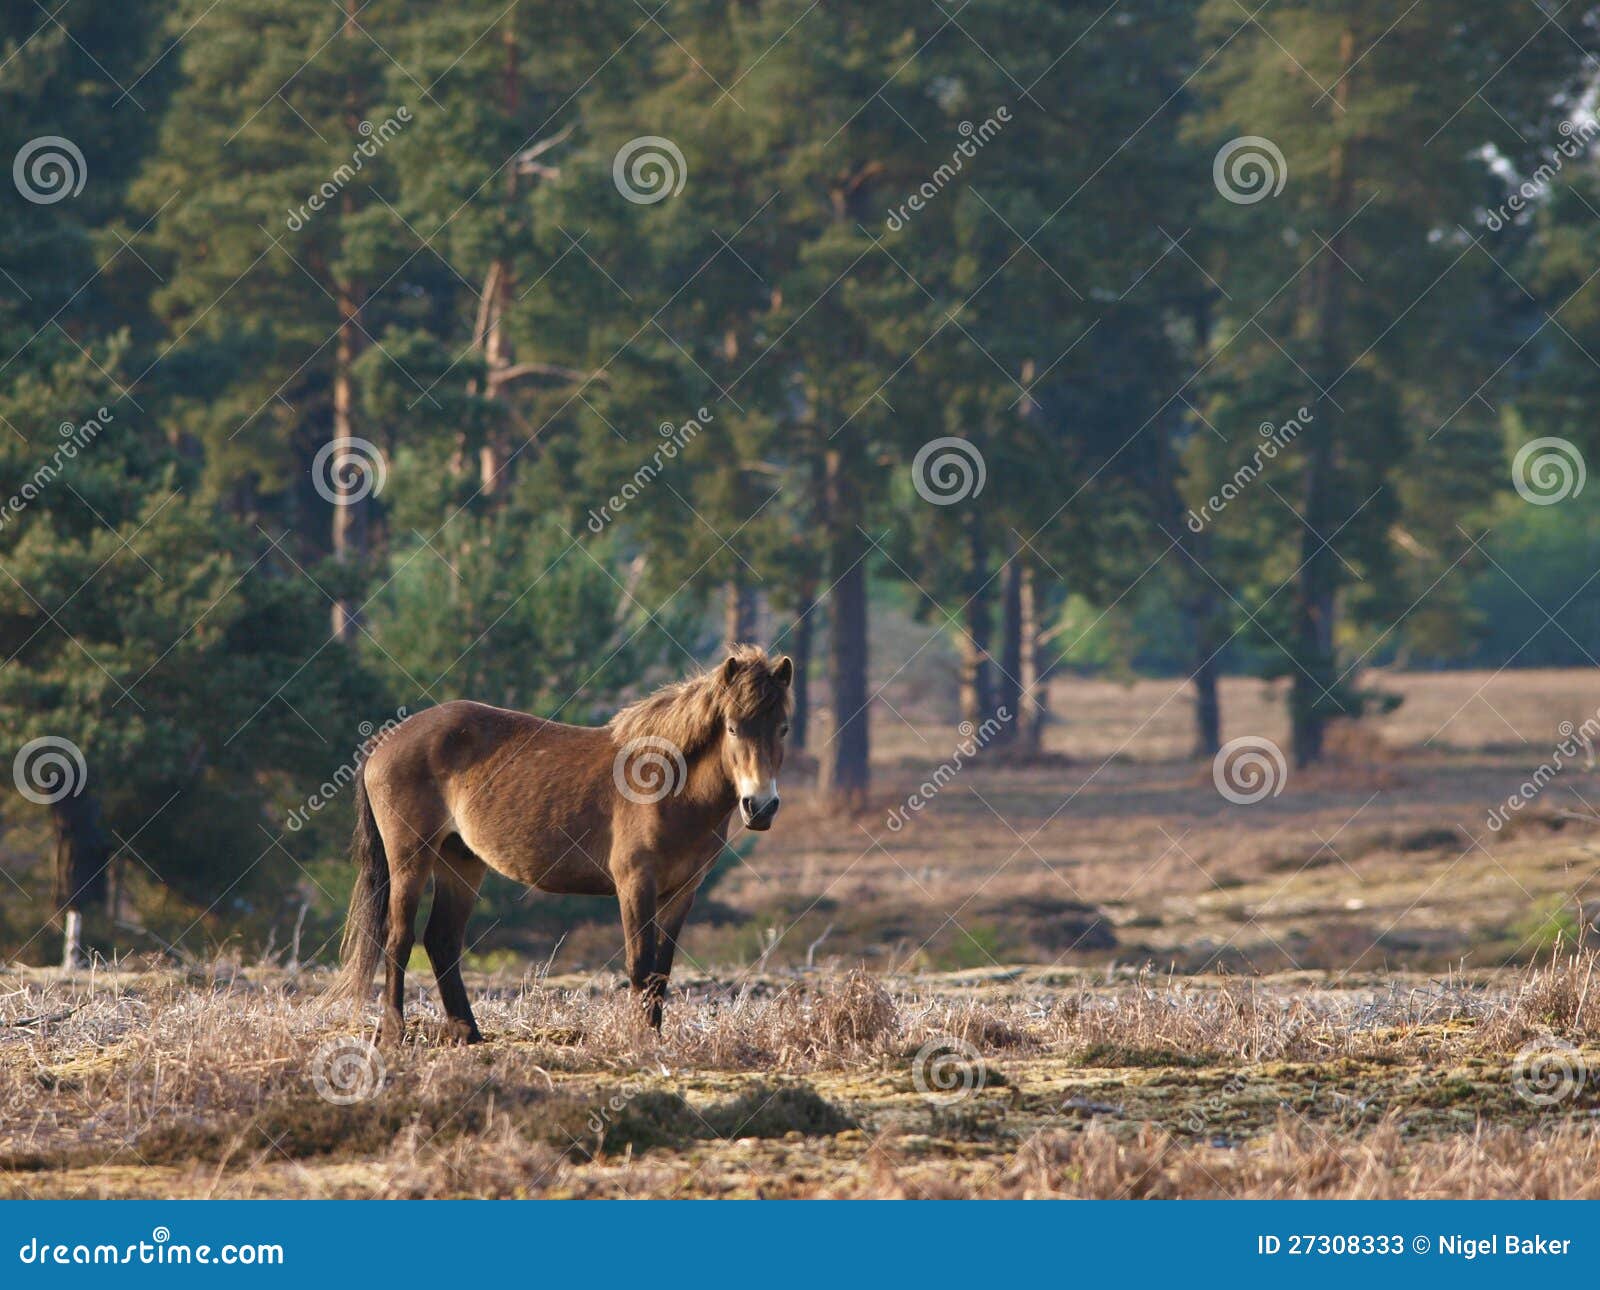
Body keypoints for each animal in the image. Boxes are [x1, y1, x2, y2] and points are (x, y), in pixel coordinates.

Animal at [334, 645, 793, 1043]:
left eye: (783, 728)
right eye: (732, 727)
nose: (760, 806)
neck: (669, 783)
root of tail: (385, 740)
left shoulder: (683, 891)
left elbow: (661, 970)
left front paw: (655, 1037)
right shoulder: (635, 884)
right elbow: (640, 965)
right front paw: (639, 1040)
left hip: (461, 860)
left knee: (442, 940)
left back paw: (468, 1033)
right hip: (410, 857)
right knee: (399, 938)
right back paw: (395, 1034)